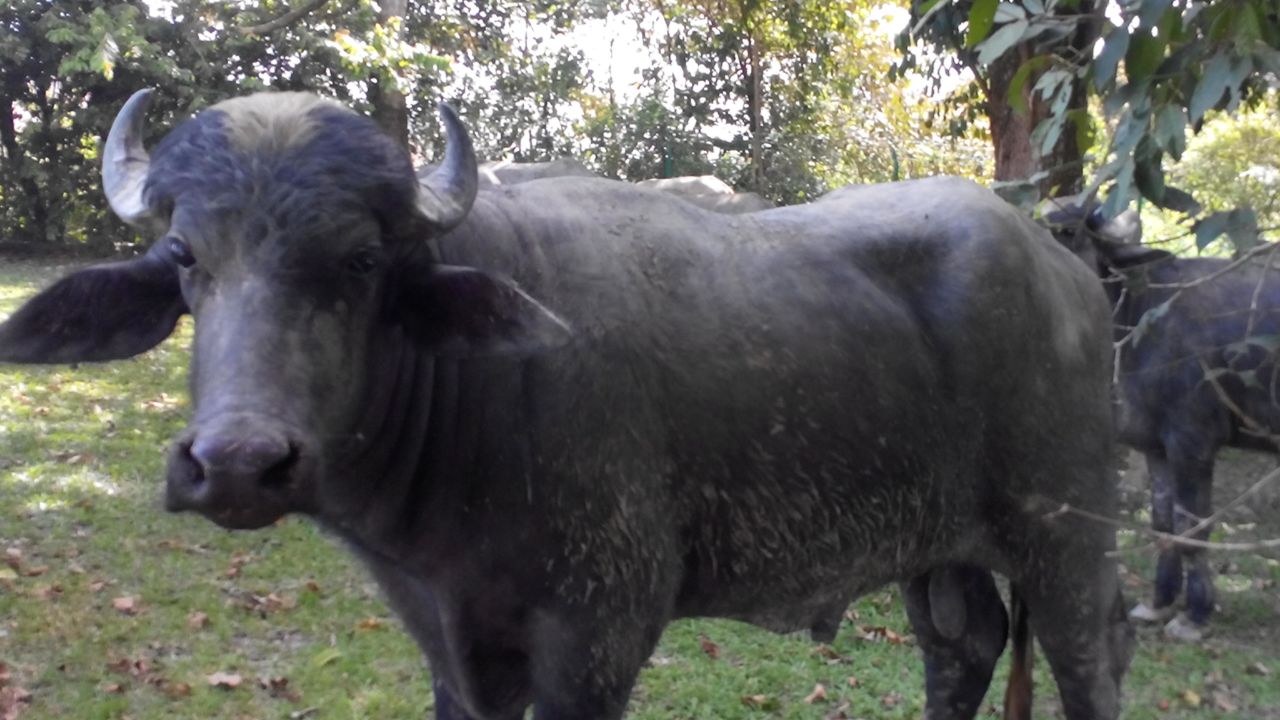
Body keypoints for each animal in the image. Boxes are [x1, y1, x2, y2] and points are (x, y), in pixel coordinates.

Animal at [0, 90, 1132, 719]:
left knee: (1089, 663)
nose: (238, 461)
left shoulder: (598, 633)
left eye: (361, 261)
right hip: (932, 548)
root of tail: (1069, 272)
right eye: (185, 257)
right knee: (963, 650)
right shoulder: (449, 643)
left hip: (1067, 540)